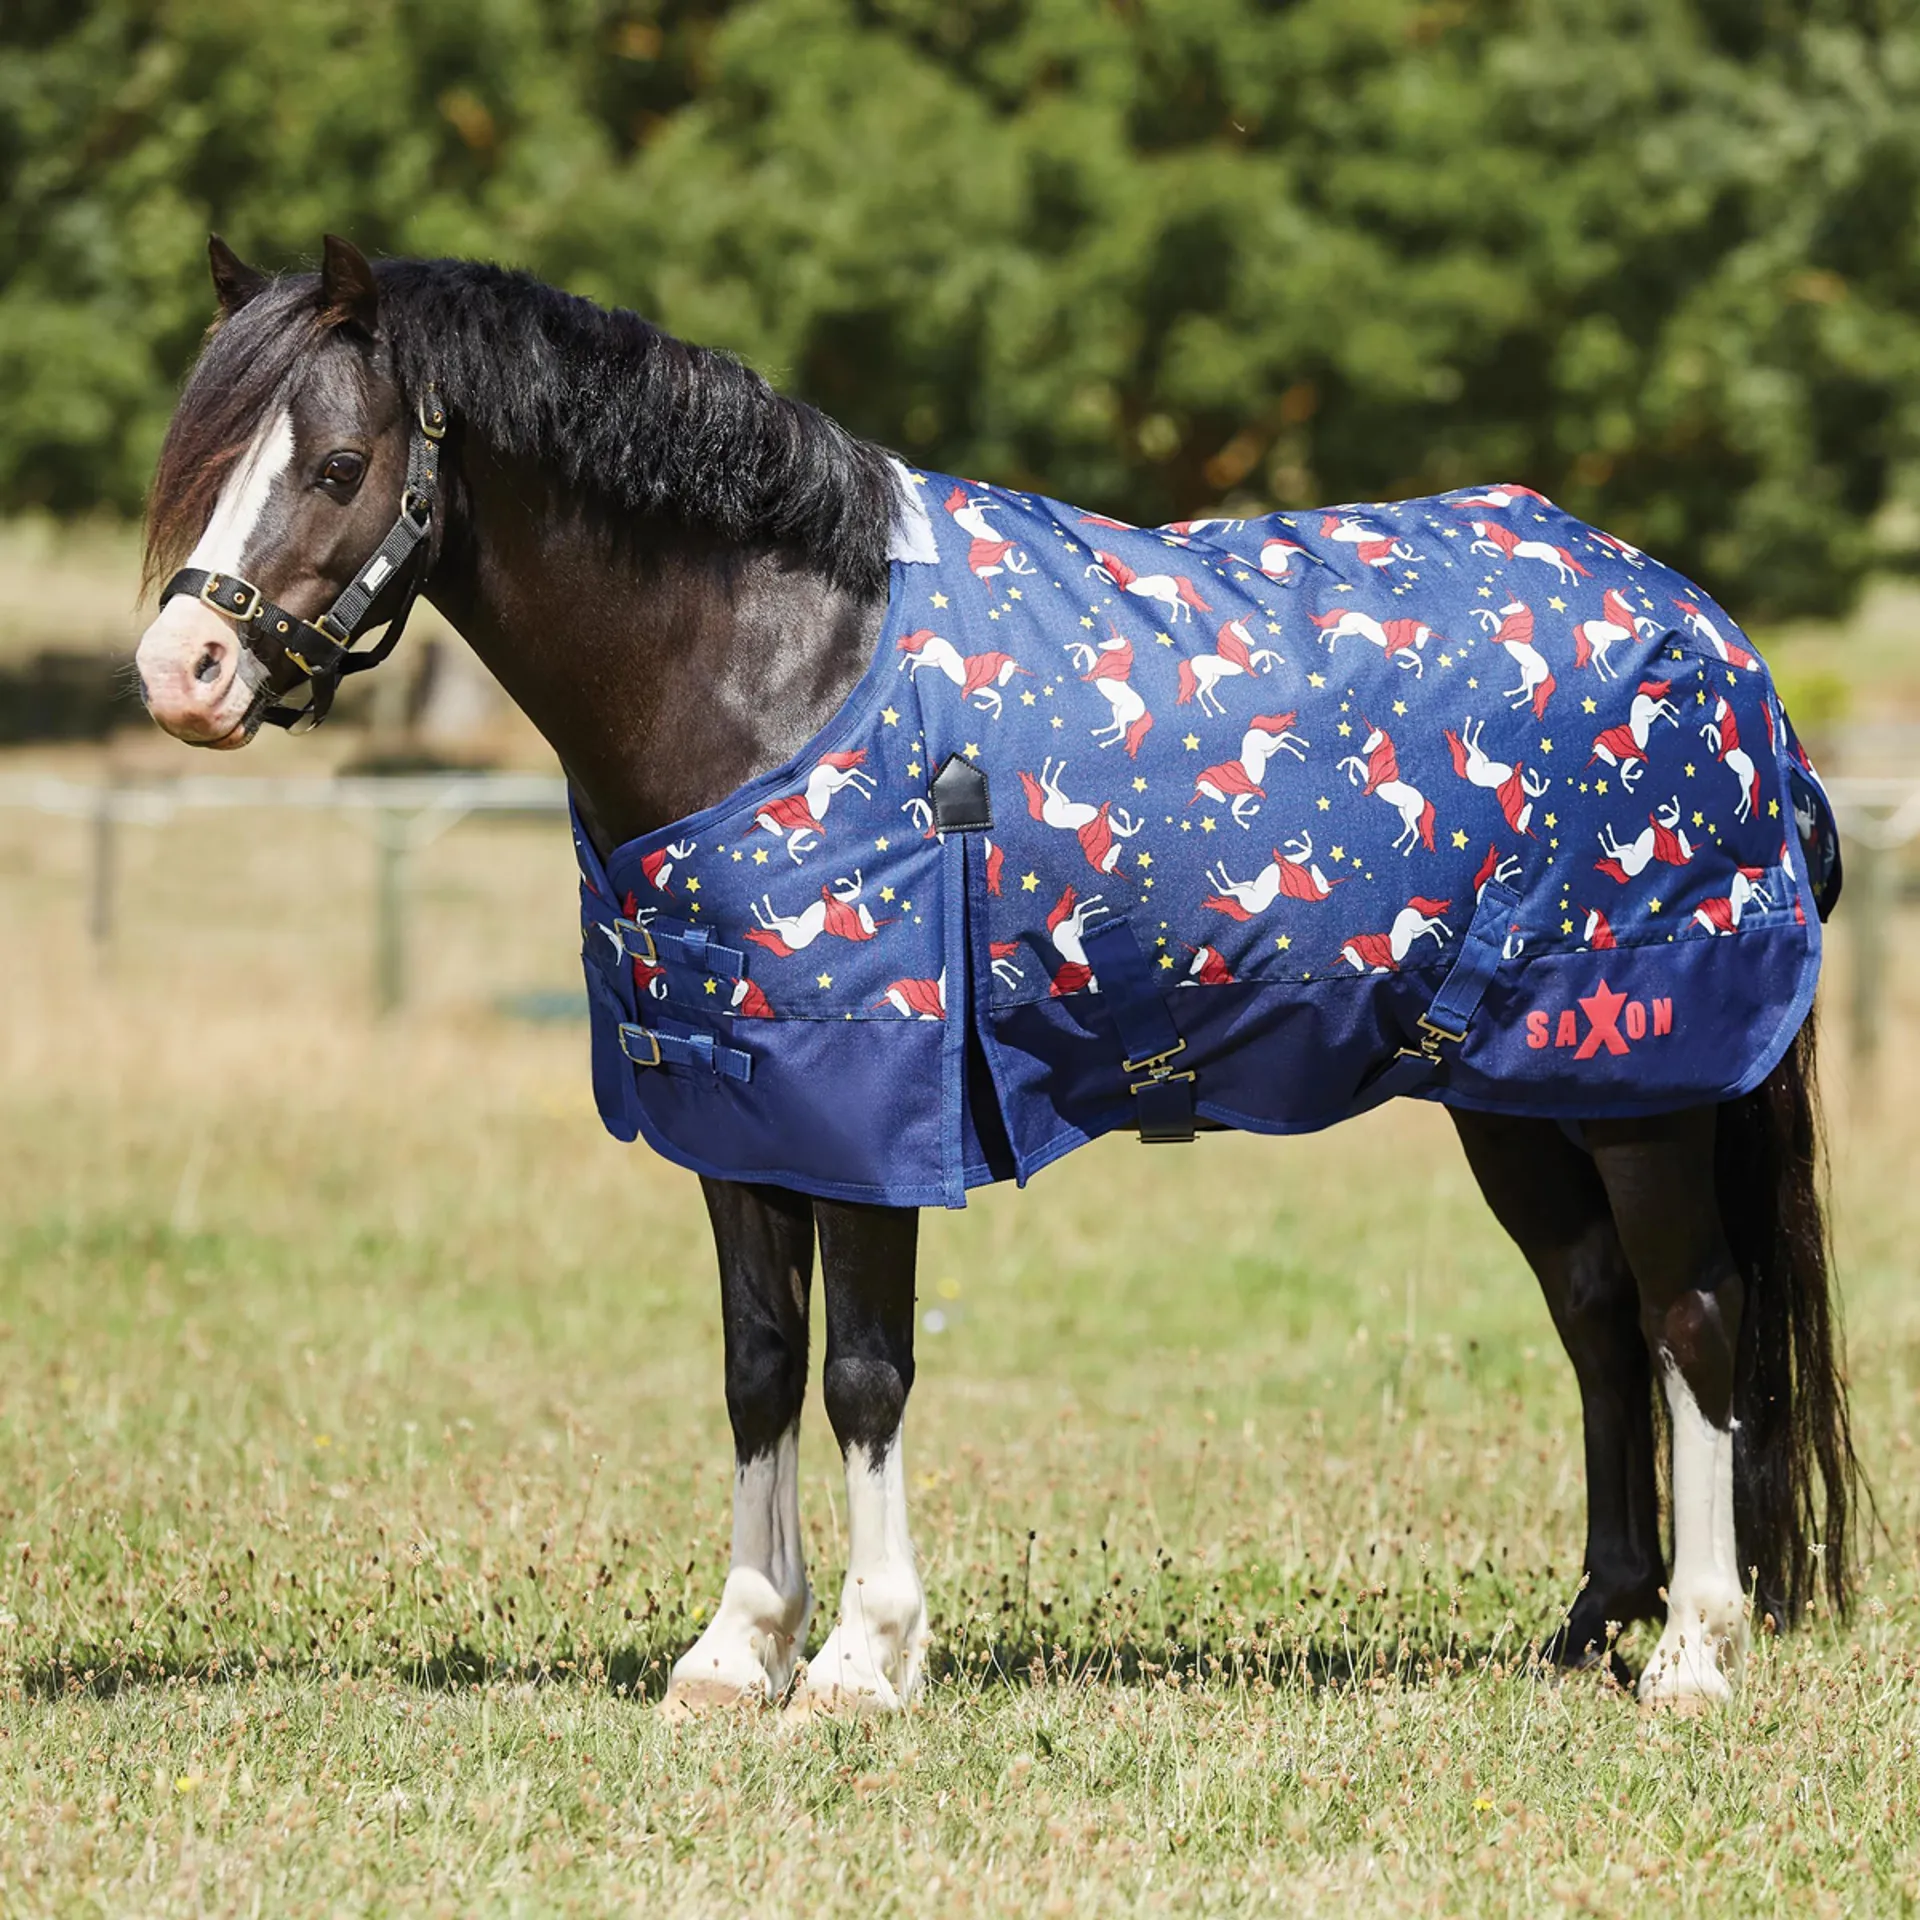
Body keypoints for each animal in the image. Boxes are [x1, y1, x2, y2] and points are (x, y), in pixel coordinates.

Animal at [134, 236, 1858, 1715]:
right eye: (200, 463)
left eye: (337, 468)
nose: (182, 675)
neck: (775, 670)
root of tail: (1709, 634)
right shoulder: (738, 1100)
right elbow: (758, 1367)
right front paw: (738, 1649)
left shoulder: (874, 1101)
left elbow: (863, 1373)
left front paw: (860, 1660)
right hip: (1516, 1089)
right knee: (1597, 1315)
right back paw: (1593, 1625)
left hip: (1643, 1076)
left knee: (1694, 1316)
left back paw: (1693, 1653)